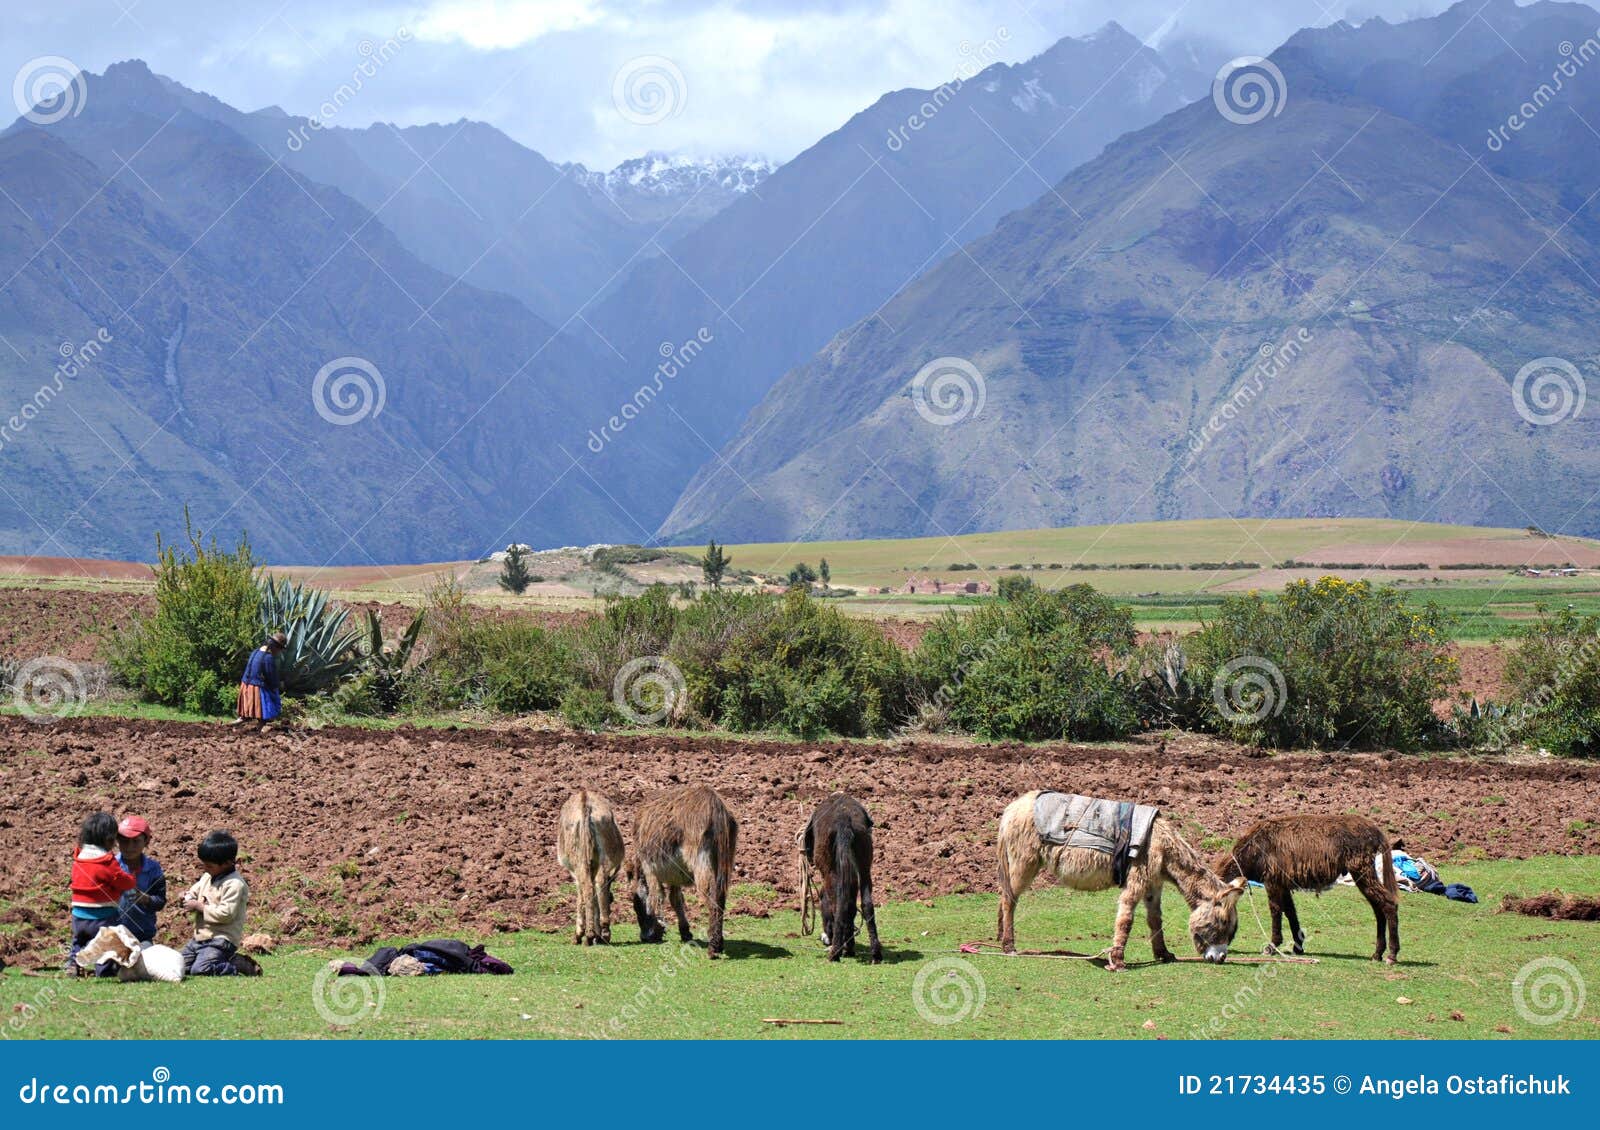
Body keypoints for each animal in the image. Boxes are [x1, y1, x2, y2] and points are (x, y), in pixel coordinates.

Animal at [556, 789, 626, 945]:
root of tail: (585, 799)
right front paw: (597, 935)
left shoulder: (574, 871)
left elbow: (581, 896)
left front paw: (580, 935)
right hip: (603, 854)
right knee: (600, 883)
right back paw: (604, 932)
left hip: (579, 857)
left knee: (587, 887)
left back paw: (587, 935)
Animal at [630, 785, 738, 958]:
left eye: (637, 907)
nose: (643, 938)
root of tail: (715, 806)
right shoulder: (675, 874)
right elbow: (676, 900)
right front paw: (685, 932)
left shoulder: (650, 869)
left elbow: (656, 897)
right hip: (722, 861)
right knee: (720, 897)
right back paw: (719, 944)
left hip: (701, 862)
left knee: (712, 897)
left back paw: (713, 947)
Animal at [800, 794, 883, 963]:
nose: (825, 939)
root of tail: (844, 819)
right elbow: (852, 908)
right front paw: (849, 948)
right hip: (864, 868)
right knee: (866, 905)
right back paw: (875, 954)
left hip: (831, 872)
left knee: (838, 905)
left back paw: (834, 953)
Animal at [996, 790, 1247, 971]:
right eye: (1223, 923)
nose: (1221, 958)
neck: (1162, 844)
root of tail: (1013, 807)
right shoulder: (1137, 879)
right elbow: (1126, 919)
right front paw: (1117, 961)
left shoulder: (1153, 885)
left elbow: (1155, 920)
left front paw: (1163, 954)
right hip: (1025, 862)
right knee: (1009, 899)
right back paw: (1009, 946)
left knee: (1004, 897)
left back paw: (1001, 938)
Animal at [1214, 814, 1400, 964]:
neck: (1254, 848)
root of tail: (1375, 830)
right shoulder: (1282, 884)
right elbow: (1290, 912)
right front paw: (1298, 947)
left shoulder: (1272, 882)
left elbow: (1276, 911)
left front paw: (1272, 946)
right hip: (1362, 874)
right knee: (1378, 908)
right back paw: (1377, 954)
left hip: (1361, 870)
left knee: (1388, 904)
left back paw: (1391, 955)